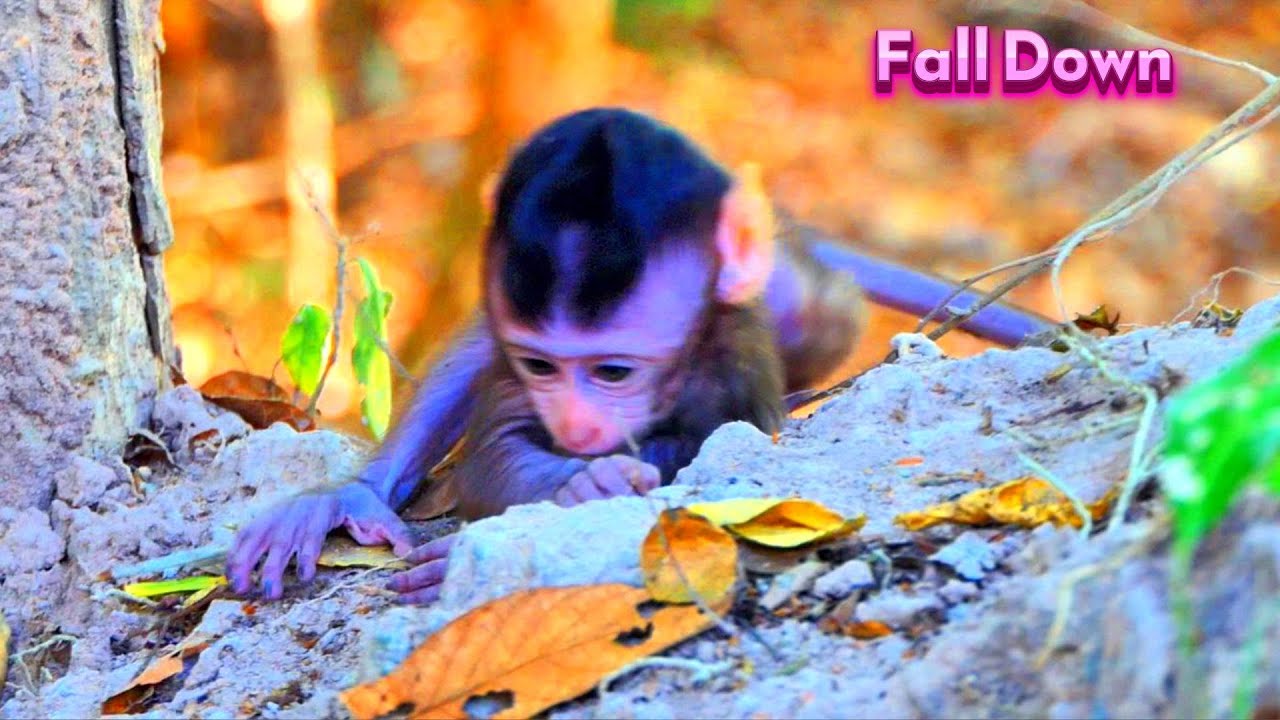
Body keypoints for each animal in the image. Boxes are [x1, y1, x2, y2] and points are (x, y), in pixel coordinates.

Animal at [226, 107, 1053, 602]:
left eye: (614, 371)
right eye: (542, 366)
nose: (577, 424)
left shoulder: (736, 359)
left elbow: (726, 439)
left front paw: (593, 483)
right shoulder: (514, 350)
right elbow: (491, 455)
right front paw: (580, 482)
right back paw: (358, 495)